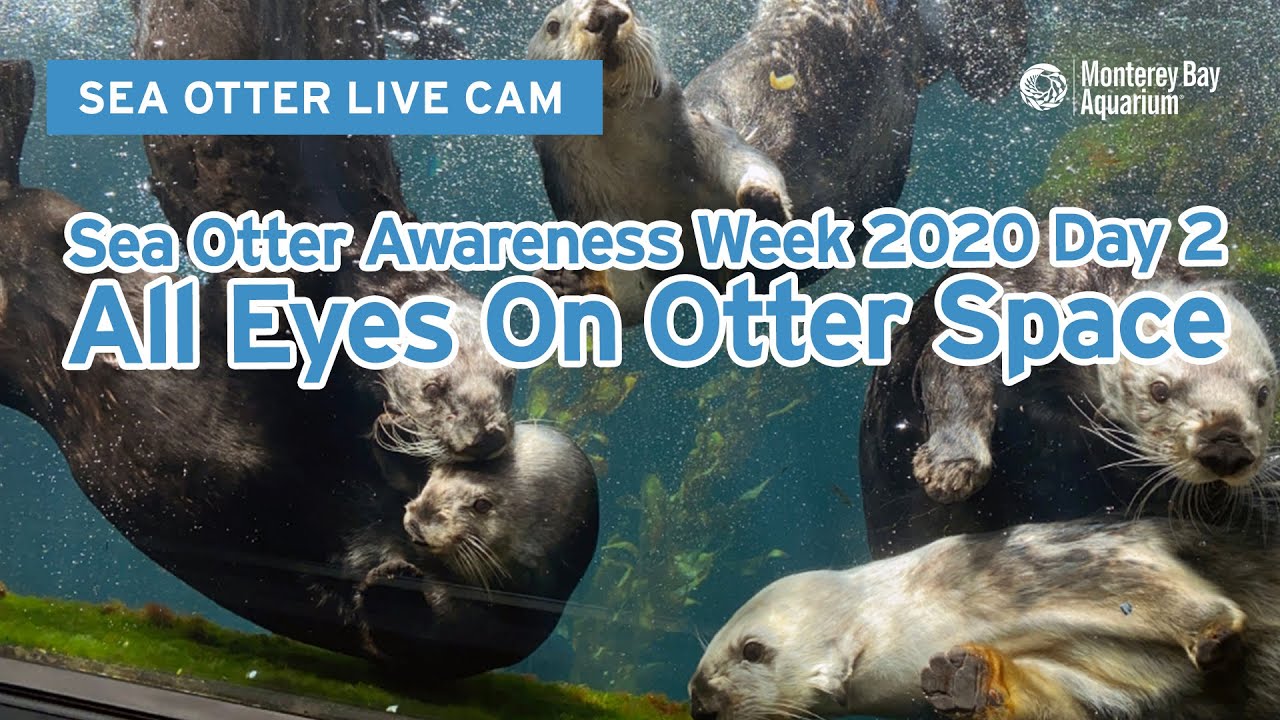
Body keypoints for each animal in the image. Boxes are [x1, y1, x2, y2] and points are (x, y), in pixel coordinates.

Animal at [527, 0, 1027, 322]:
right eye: (553, 25)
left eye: (627, 5)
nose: (605, 13)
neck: (651, 183)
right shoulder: (592, 211)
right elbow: (633, 297)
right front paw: (570, 280)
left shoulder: (710, 139)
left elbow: (755, 167)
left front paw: (760, 203)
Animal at [690, 518, 1280, 720]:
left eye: (750, 651)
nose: (699, 704)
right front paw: (968, 685)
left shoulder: (1052, 570)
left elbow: (1158, 584)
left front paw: (1212, 633)